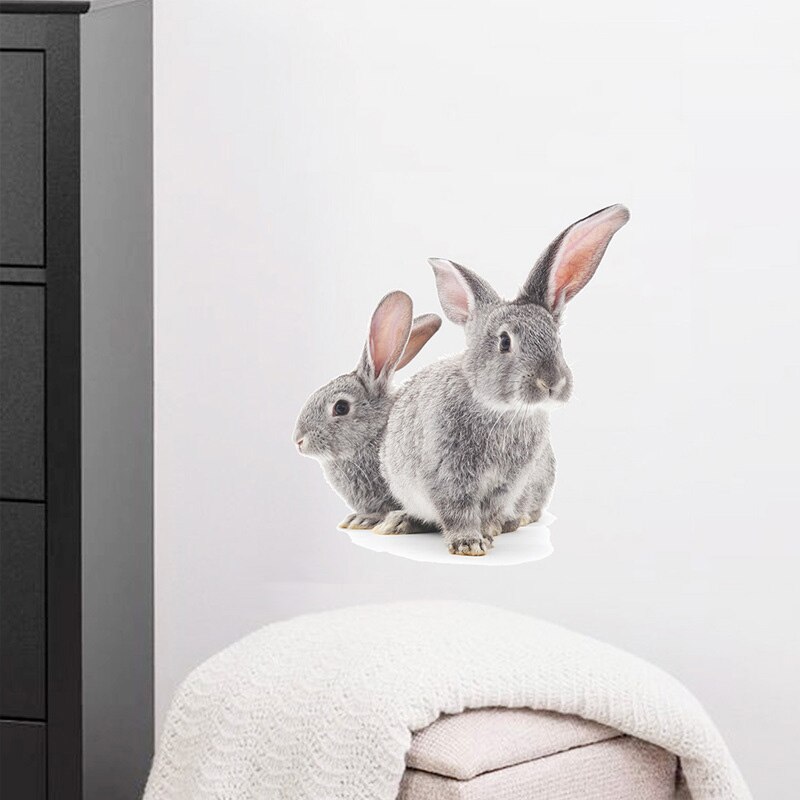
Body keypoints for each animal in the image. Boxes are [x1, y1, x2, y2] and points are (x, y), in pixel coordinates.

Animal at [376, 204, 630, 555]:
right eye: (505, 342)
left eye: (557, 340)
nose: (551, 383)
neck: (503, 410)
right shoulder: (448, 475)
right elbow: (458, 509)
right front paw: (469, 544)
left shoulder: (507, 483)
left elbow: (490, 508)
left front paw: (489, 532)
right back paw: (399, 522)